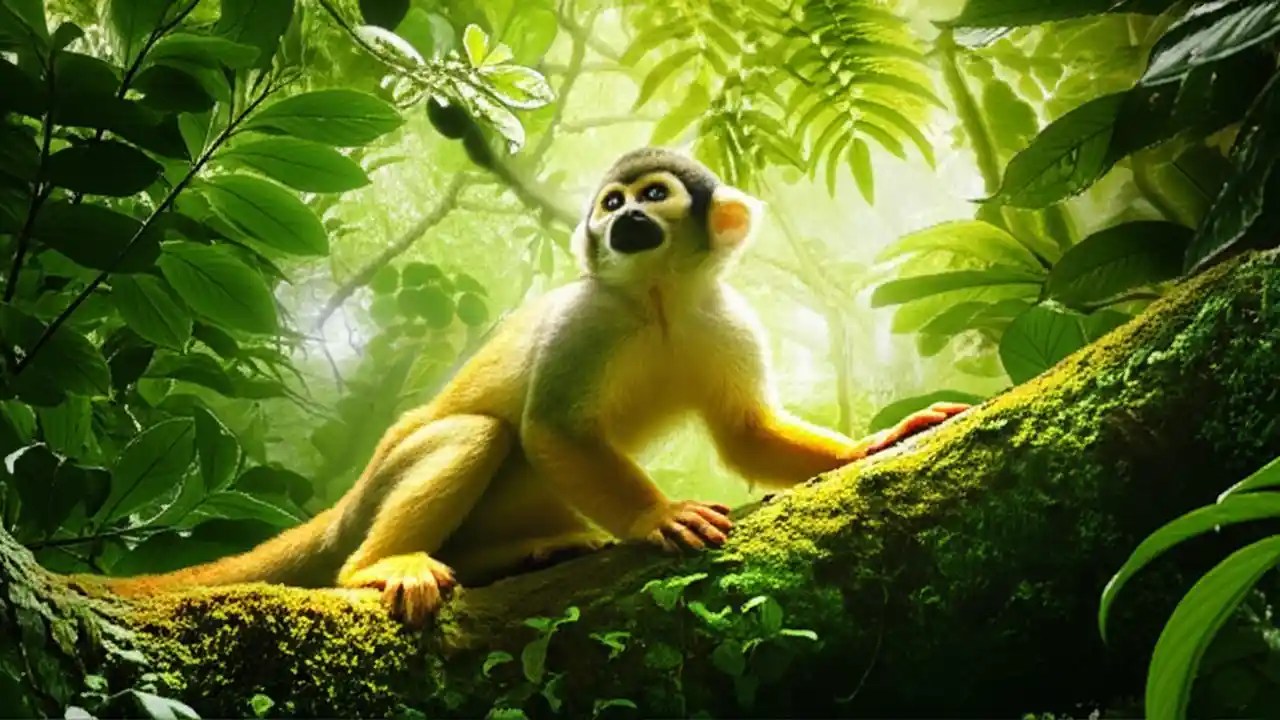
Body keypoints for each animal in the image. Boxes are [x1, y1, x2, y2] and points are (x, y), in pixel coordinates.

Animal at [89, 148, 968, 626]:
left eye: (653, 197)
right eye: (611, 204)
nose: (621, 222)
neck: (658, 298)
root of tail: (348, 505)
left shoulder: (726, 317)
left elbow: (744, 433)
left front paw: (876, 441)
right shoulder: (586, 317)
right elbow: (552, 428)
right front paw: (656, 516)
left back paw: (519, 555)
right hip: (382, 481)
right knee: (477, 434)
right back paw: (381, 563)